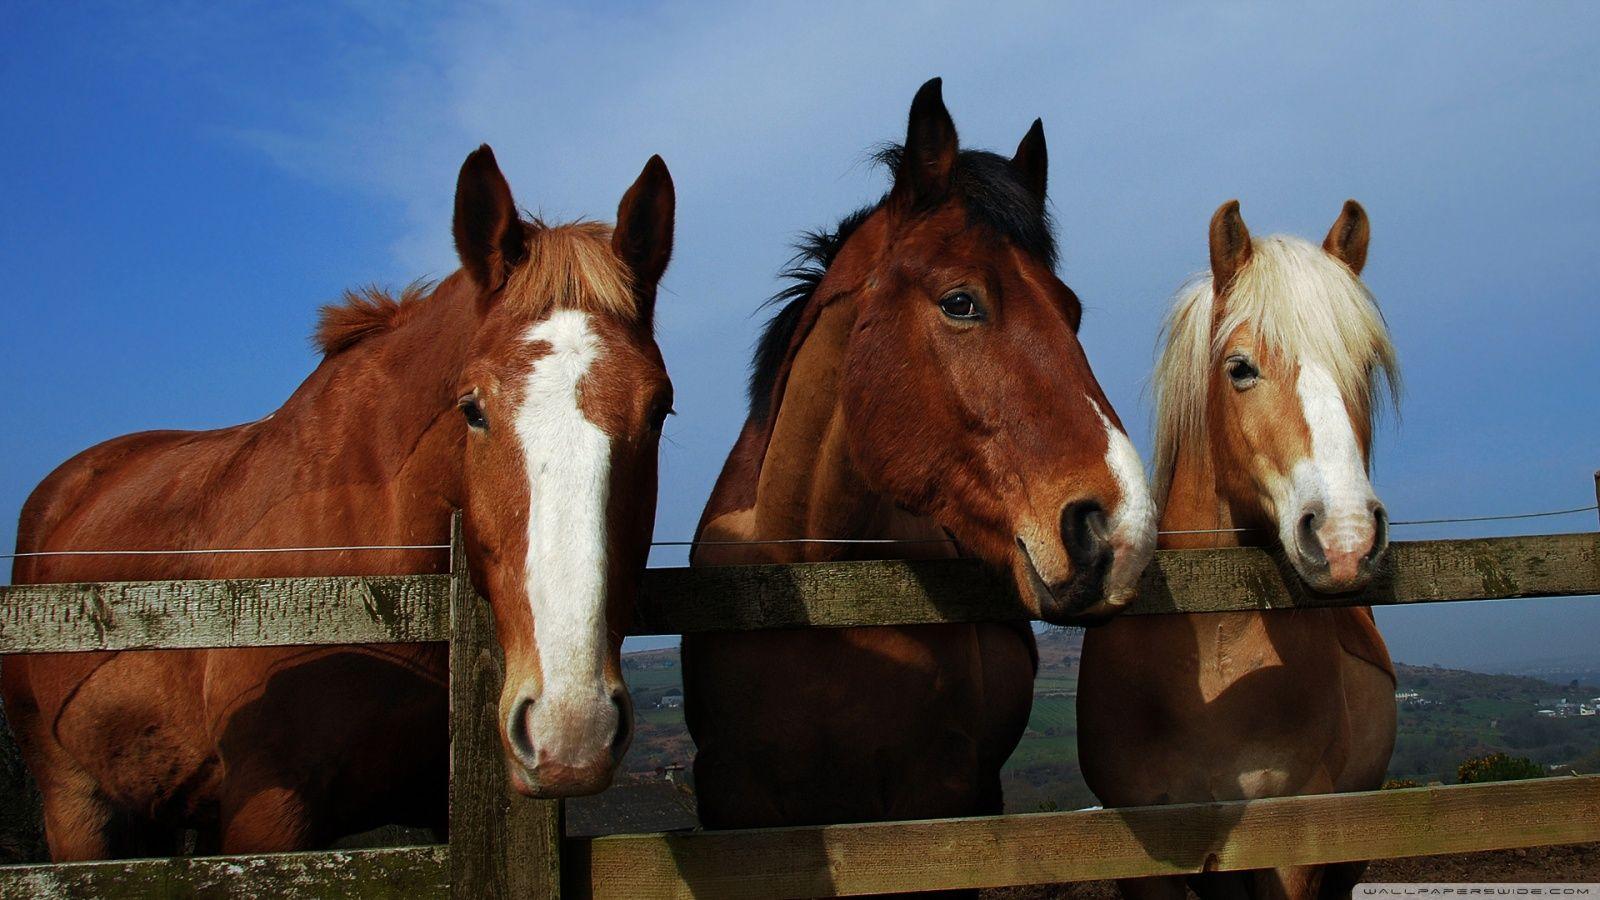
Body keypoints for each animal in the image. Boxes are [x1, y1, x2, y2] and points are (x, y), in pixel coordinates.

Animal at [683, 78, 1157, 848]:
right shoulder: (734, 800)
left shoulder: (937, 794)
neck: (812, 587)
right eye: (960, 302)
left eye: (1073, 312)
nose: (1121, 532)